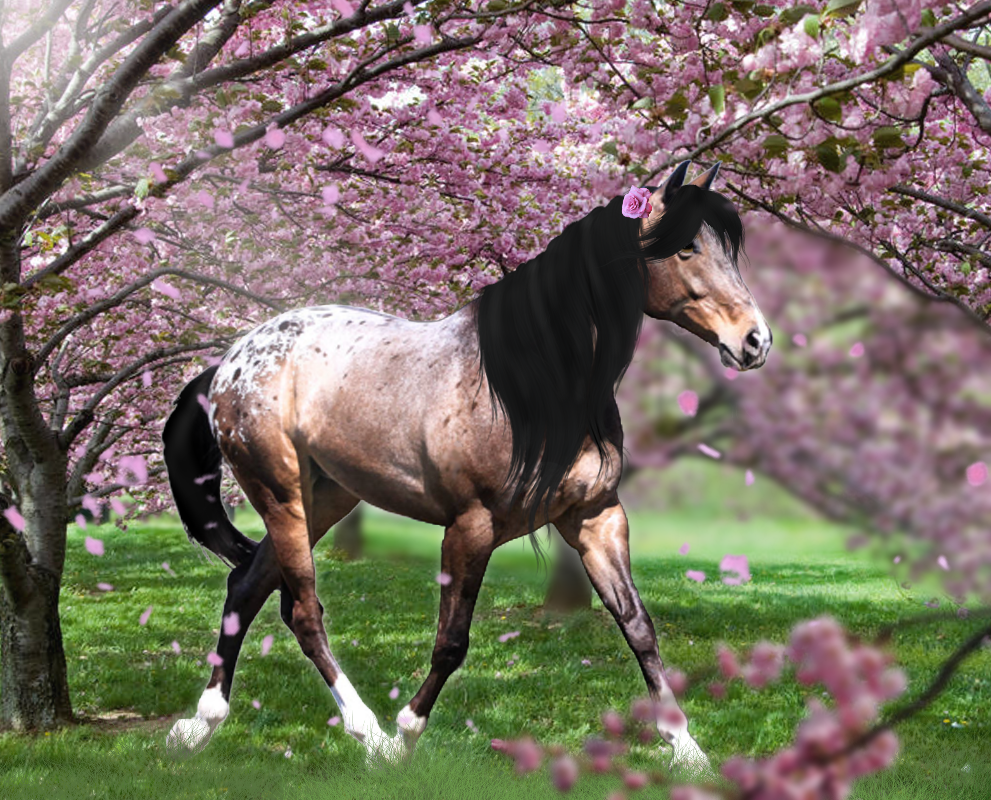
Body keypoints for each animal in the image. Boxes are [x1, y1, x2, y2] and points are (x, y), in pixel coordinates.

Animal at [161, 160, 771, 773]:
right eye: (687, 248)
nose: (756, 341)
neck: (532, 387)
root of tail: (231, 362)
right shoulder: (471, 527)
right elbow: (452, 641)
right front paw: (407, 733)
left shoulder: (596, 517)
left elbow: (639, 626)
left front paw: (686, 747)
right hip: (280, 494)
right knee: (304, 612)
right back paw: (369, 734)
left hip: (325, 497)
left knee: (247, 587)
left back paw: (199, 725)